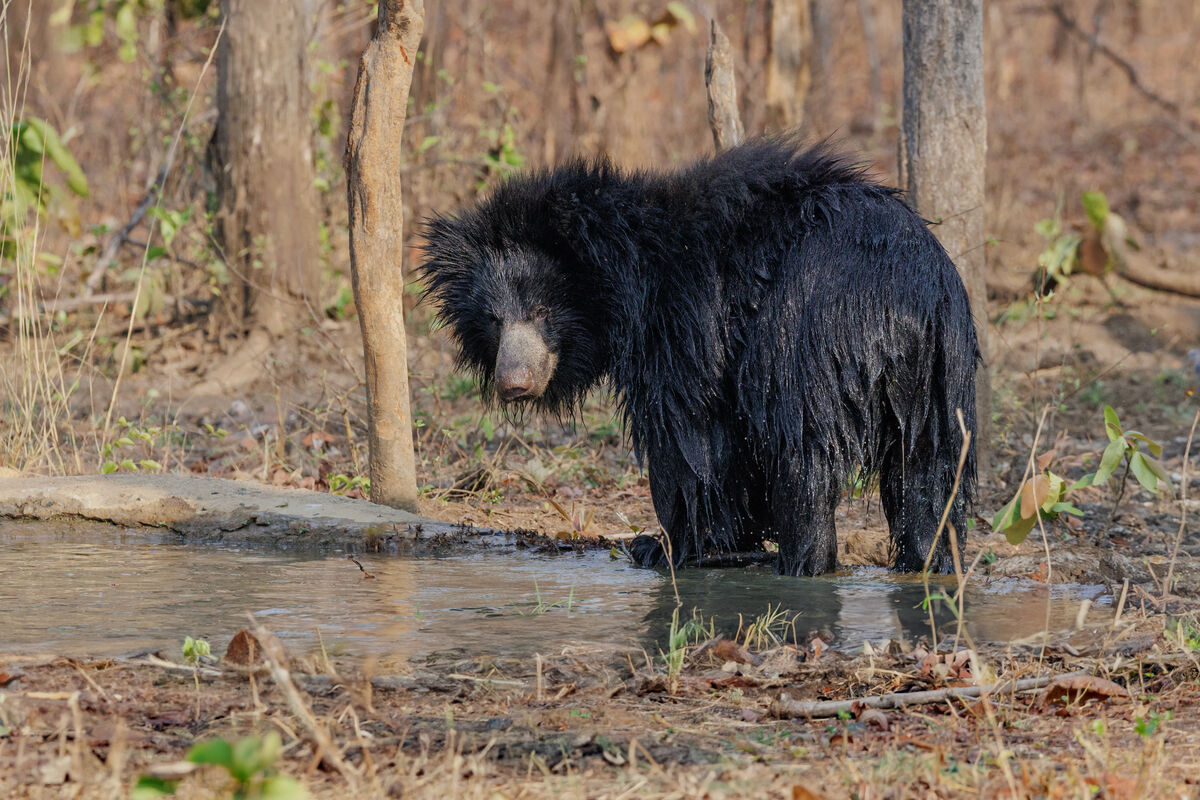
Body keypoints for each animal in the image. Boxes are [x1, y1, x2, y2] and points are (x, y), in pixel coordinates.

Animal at [418, 137, 978, 576]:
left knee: (799, 453)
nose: (514, 382)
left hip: (805, 337)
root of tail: (899, 301)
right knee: (929, 472)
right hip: (940, 373)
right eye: (493, 320)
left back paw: (803, 562)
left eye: (541, 312)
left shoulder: (682, 323)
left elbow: (692, 437)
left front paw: (664, 544)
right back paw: (928, 563)